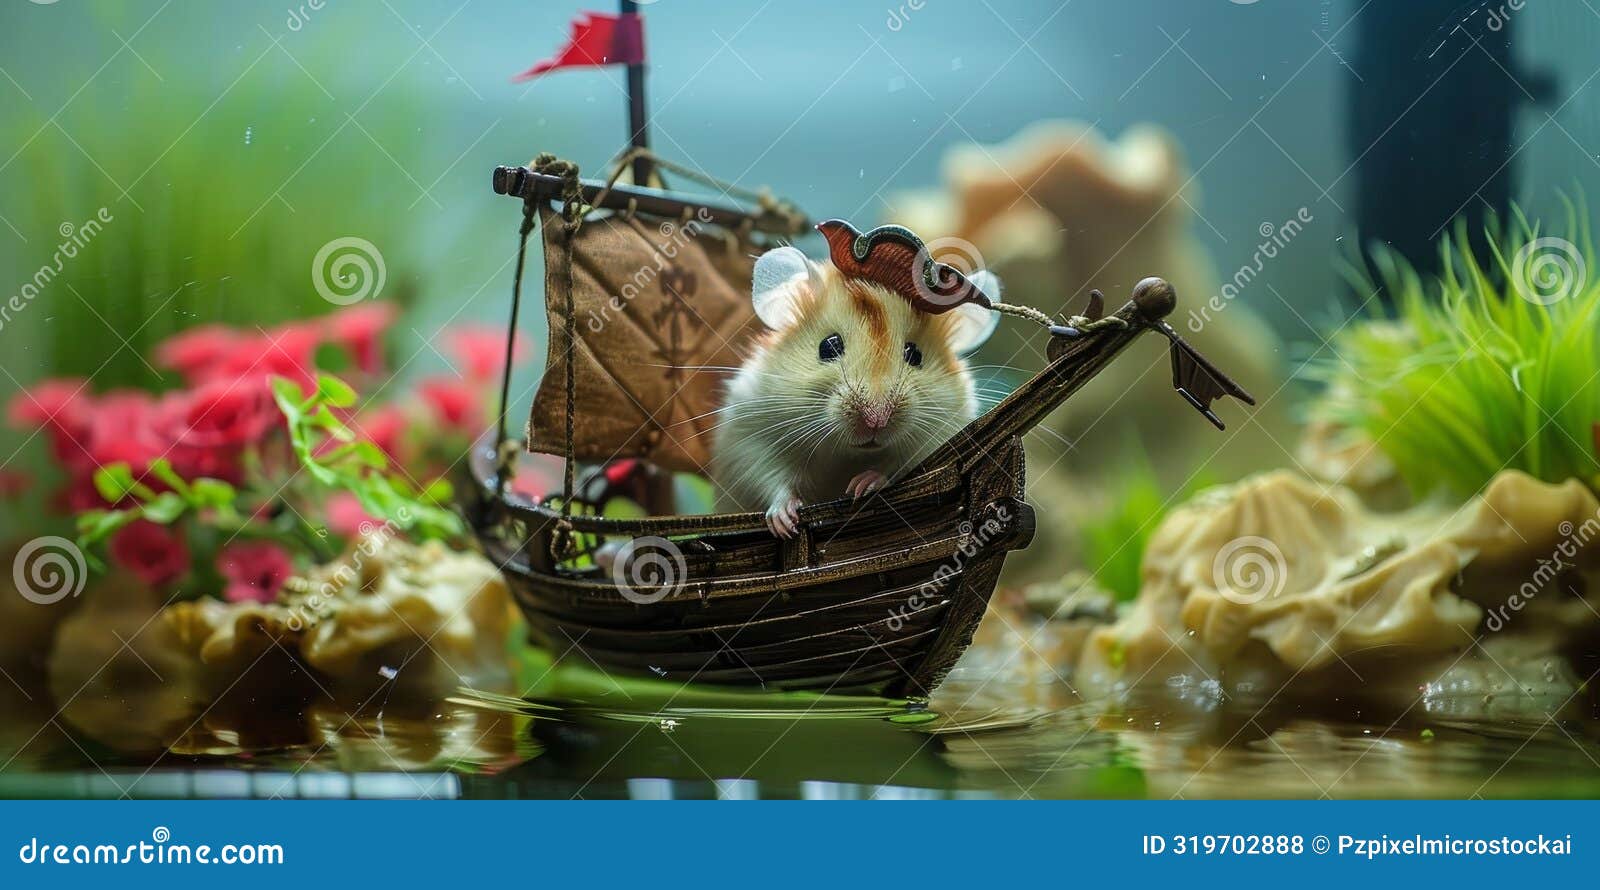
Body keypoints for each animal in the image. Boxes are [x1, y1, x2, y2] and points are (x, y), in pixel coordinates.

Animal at [711, 246, 1000, 537]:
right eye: (828, 346)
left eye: (915, 355)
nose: (877, 420)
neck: (848, 451)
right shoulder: (749, 433)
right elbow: (770, 479)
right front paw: (784, 525)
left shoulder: (942, 433)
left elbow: (901, 466)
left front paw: (861, 486)